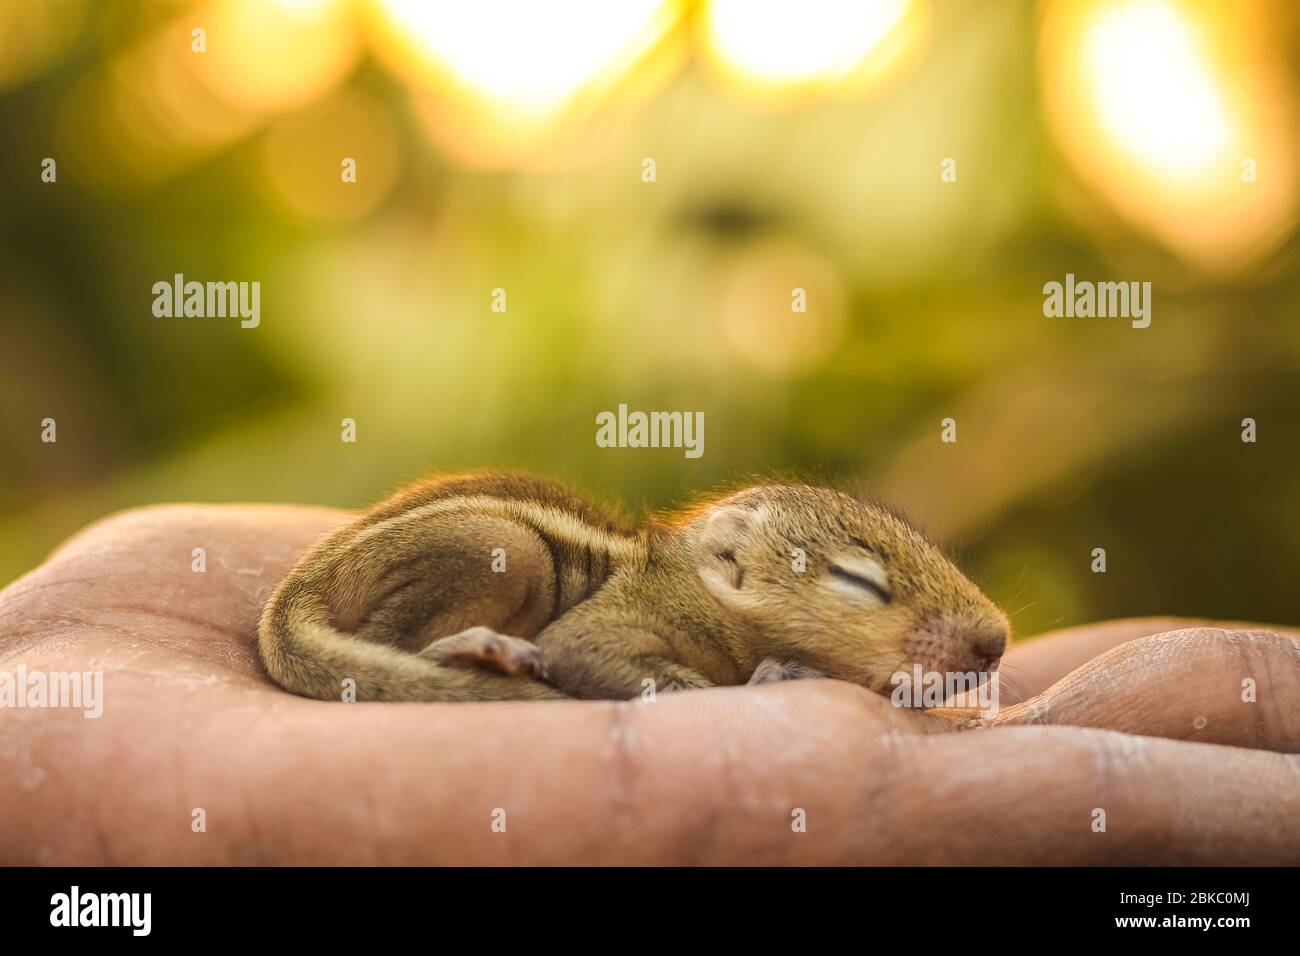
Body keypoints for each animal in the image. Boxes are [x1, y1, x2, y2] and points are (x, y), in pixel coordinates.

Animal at [258, 472, 1009, 703]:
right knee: (398, 645)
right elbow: (583, 652)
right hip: (512, 551)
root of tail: (300, 586)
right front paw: (773, 676)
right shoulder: (607, 627)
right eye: (856, 578)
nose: (997, 642)